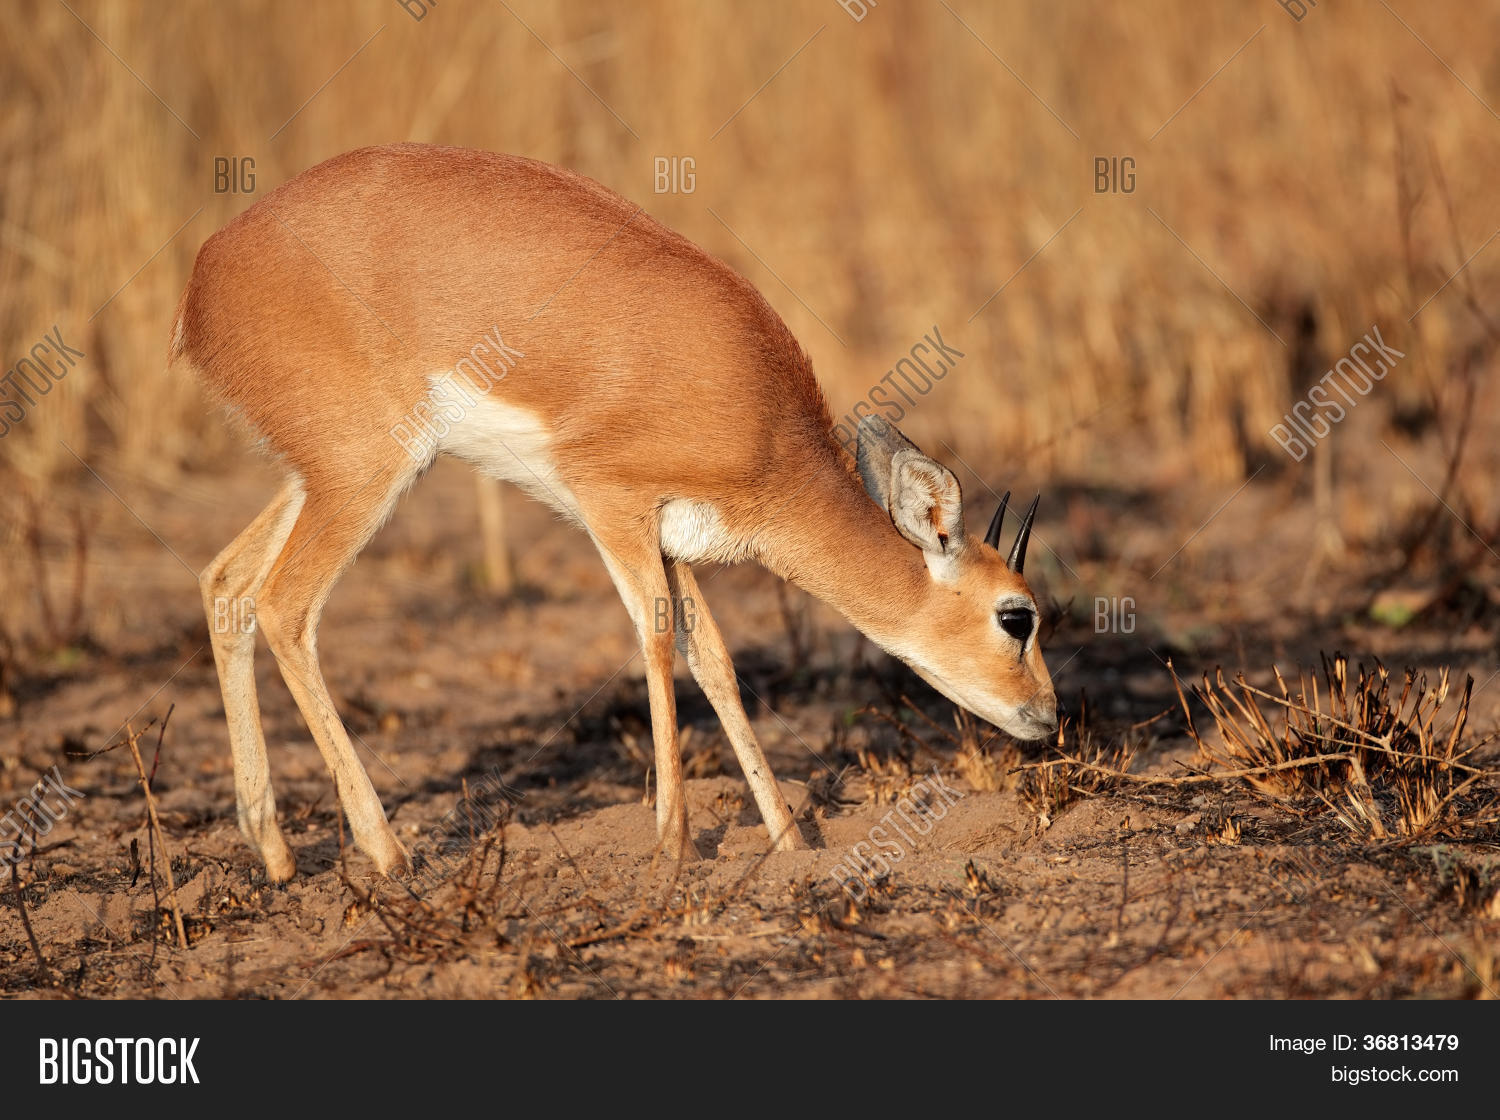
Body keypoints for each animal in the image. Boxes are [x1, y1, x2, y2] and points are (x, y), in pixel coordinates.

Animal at [177, 144, 1057, 881]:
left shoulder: (671, 536)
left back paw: (276, 854)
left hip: (323, 477)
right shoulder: (613, 505)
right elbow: (659, 639)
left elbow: (716, 663)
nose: (1046, 716)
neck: (759, 420)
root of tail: (207, 273)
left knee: (225, 584)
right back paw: (387, 853)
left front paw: (785, 837)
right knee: (285, 606)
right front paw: (673, 842)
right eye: (1016, 616)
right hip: (365, 476)